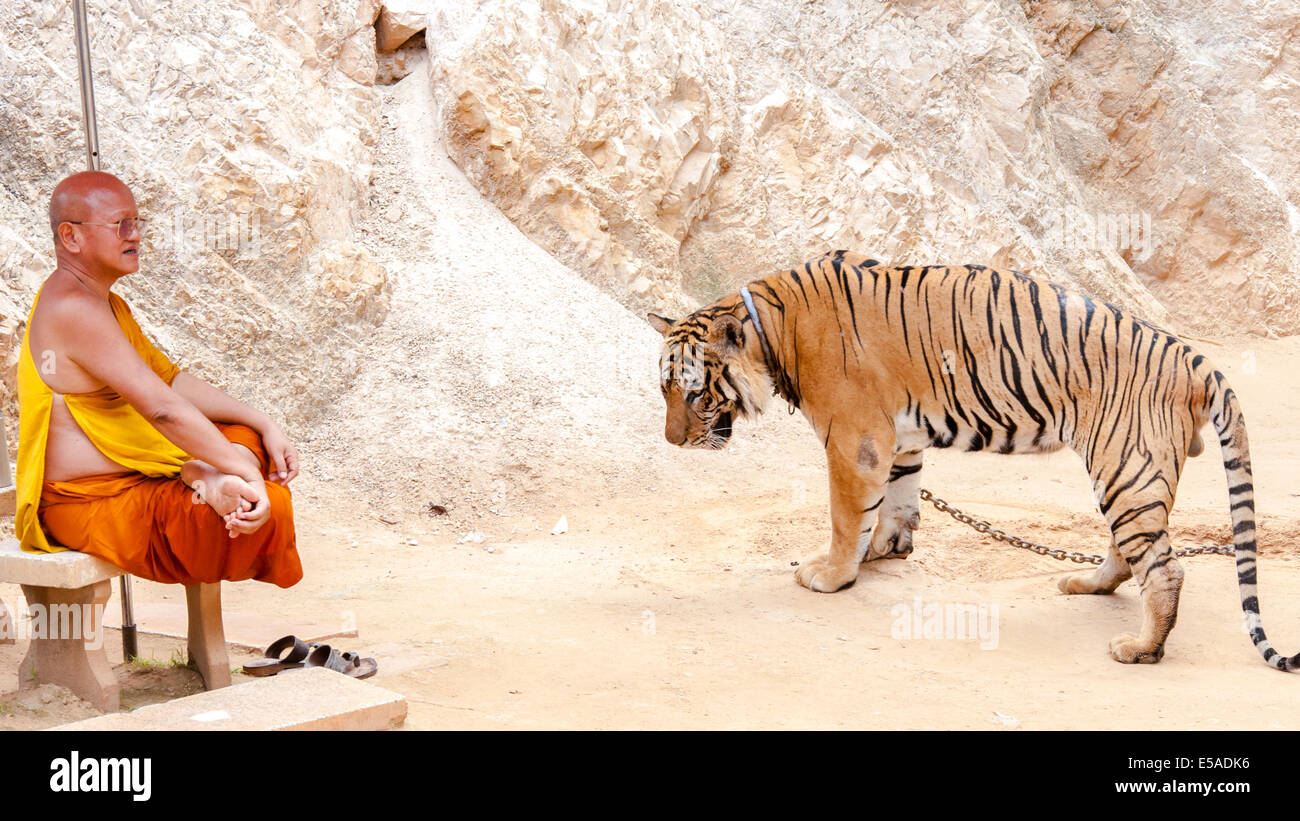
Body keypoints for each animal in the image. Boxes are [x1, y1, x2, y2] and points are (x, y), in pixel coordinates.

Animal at [649, 249, 1297, 670]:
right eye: (664, 389)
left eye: (696, 393)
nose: (673, 442)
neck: (771, 331)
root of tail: (1196, 358)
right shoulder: (900, 436)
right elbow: (897, 500)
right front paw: (885, 551)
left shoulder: (854, 439)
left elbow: (844, 515)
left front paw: (833, 574)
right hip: (1127, 474)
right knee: (1132, 548)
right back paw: (1088, 584)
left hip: (1125, 467)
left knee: (1164, 567)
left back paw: (1141, 649)